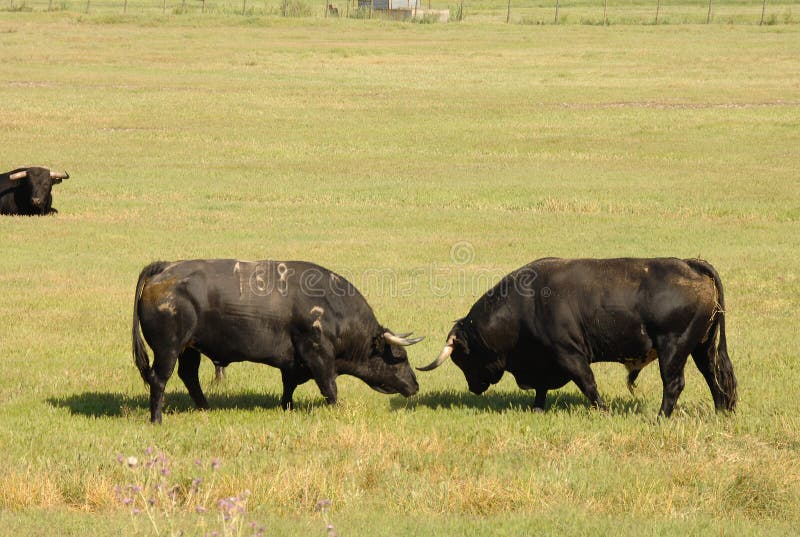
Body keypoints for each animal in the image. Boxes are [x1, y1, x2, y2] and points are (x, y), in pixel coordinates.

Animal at [132, 259, 423, 423]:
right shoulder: (318, 355)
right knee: (159, 379)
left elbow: (288, 388)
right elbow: (330, 388)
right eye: (399, 358)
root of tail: (163, 269)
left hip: (189, 349)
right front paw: (337, 411)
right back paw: (156, 419)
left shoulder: (293, 364)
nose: (415, 385)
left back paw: (205, 408)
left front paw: (287, 408)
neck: (333, 308)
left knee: (189, 376)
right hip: (168, 349)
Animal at [418, 257, 737, 417]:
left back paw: (660, 418)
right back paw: (722, 411)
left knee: (674, 384)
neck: (526, 303)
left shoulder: (569, 354)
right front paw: (536, 409)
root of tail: (691, 265)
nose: (474, 388)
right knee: (715, 376)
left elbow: (587, 383)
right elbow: (542, 389)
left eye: (463, 358)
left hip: (674, 348)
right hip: (702, 347)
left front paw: (604, 412)